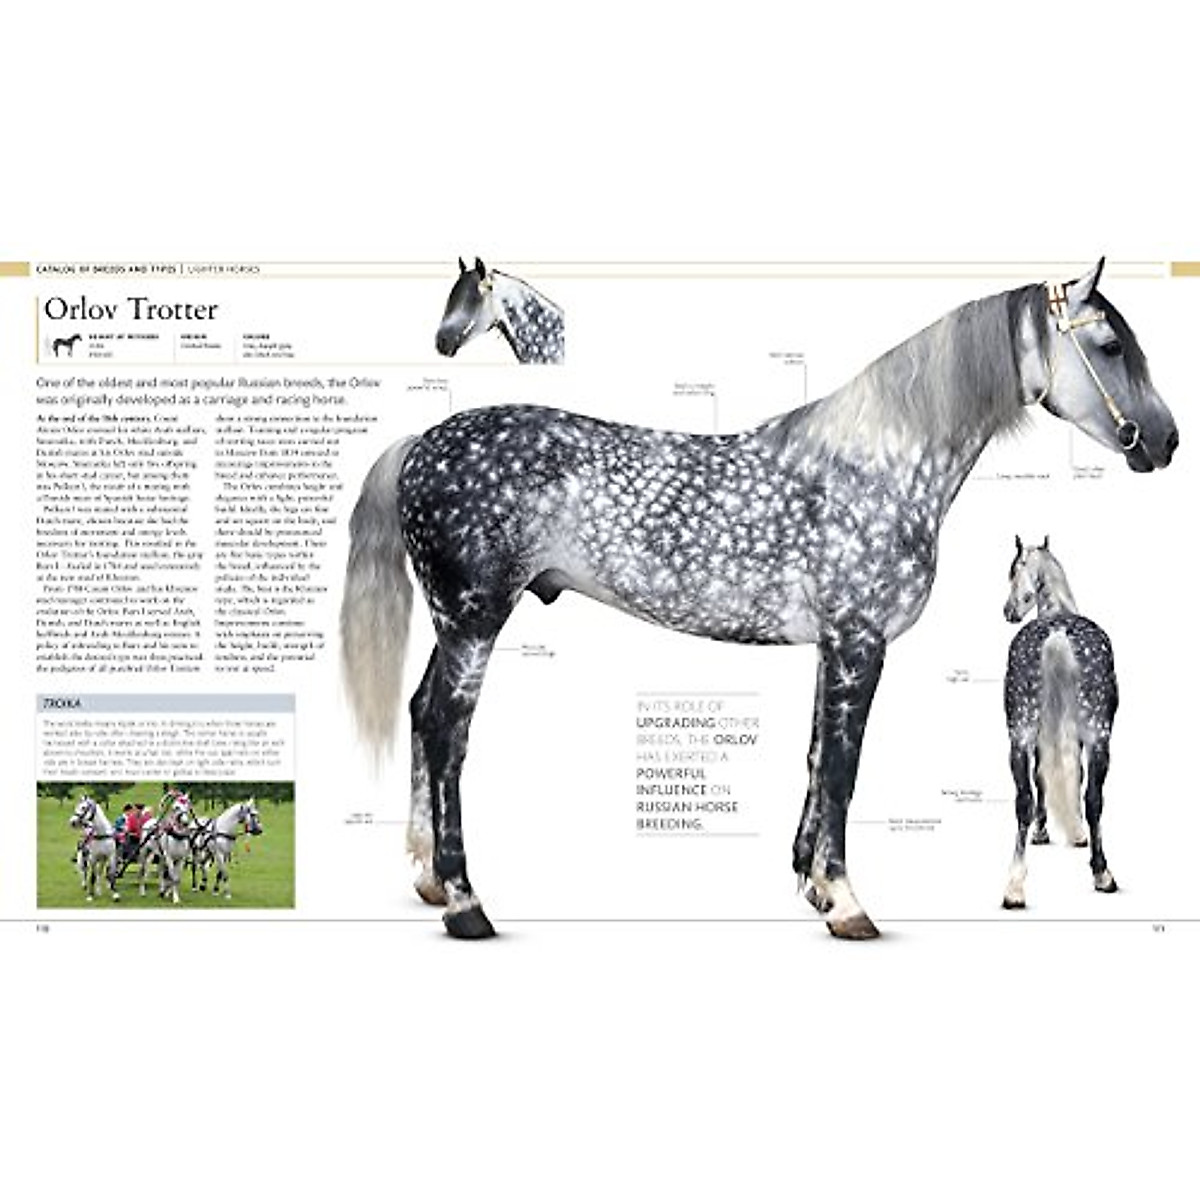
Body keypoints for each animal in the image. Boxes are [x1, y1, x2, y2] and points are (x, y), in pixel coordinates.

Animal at [1000, 537, 1121, 909]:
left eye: (1012, 571)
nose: (1008, 611)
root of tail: (1056, 633)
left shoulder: (1044, 736)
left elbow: (1046, 780)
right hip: (1098, 736)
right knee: (1093, 798)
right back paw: (1103, 875)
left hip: (1020, 735)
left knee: (1023, 799)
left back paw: (1013, 889)